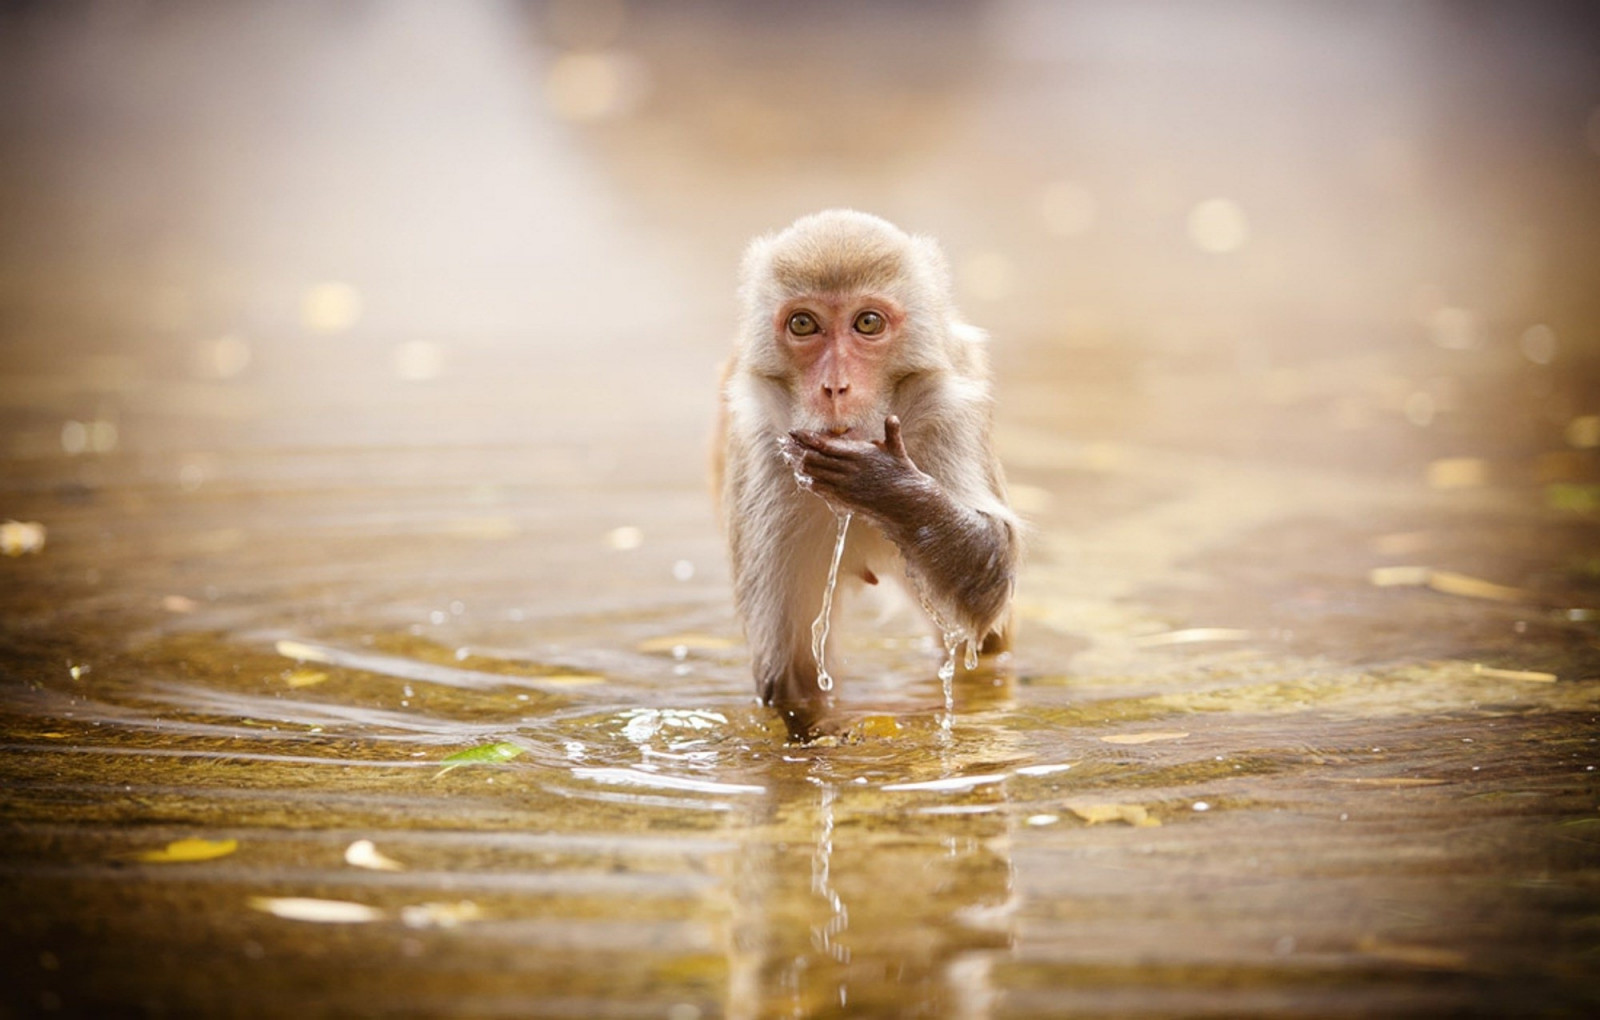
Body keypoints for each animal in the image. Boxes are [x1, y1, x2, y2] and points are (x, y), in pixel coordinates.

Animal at [714, 209, 1019, 741]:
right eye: (803, 323)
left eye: (867, 322)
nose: (835, 387)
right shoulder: (761, 454)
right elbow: (791, 677)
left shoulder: (953, 412)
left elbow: (991, 577)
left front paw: (886, 486)